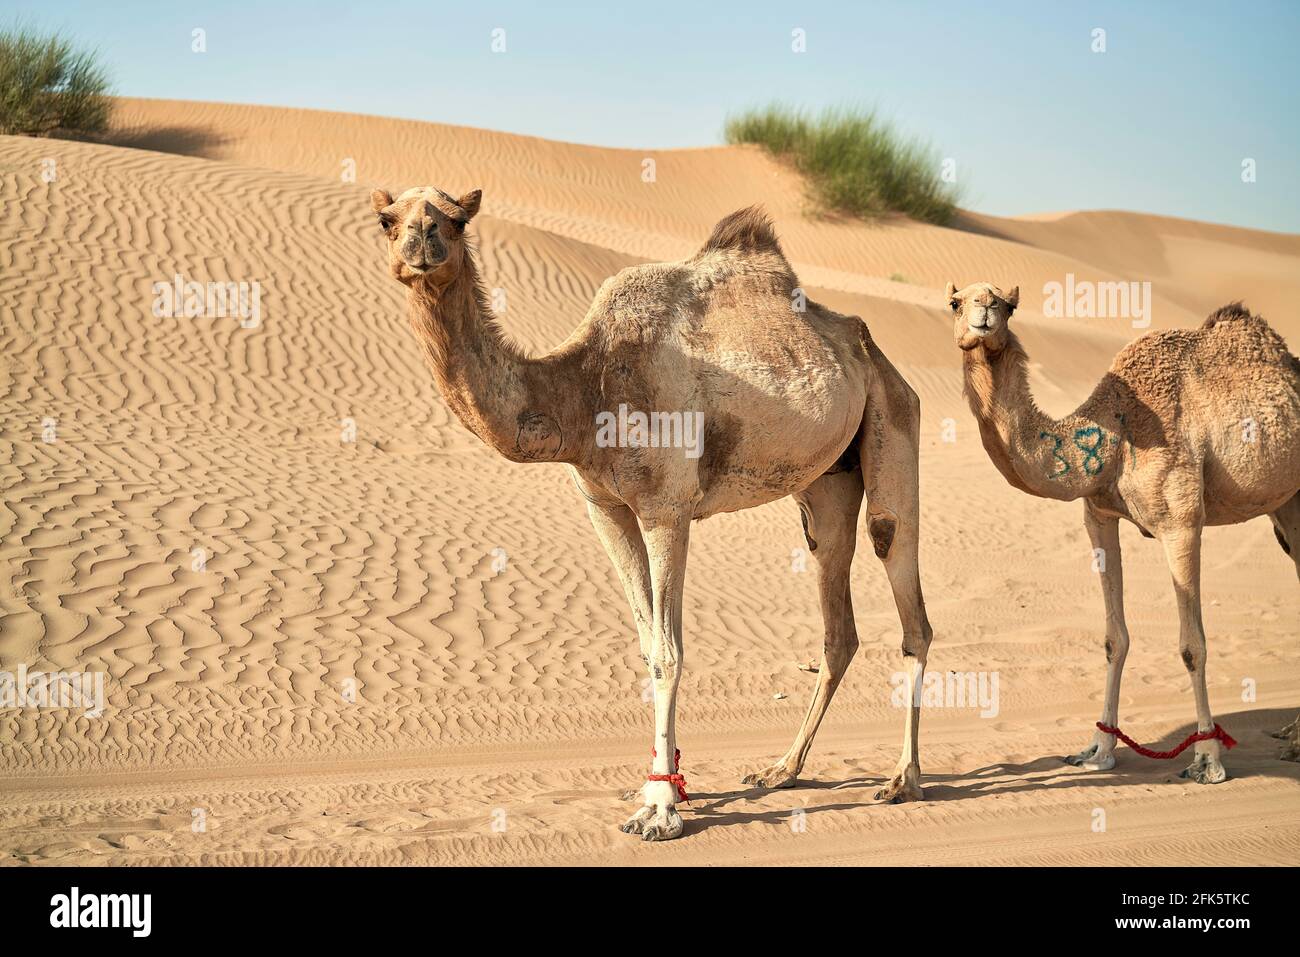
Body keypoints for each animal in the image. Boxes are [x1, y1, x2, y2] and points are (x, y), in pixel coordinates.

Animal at [370, 184, 934, 840]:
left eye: (457, 220)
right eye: (387, 219)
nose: (421, 240)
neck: (581, 390)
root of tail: (874, 351)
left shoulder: (666, 506)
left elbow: (668, 651)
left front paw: (660, 807)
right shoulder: (605, 507)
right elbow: (646, 644)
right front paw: (662, 786)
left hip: (894, 415)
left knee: (901, 572)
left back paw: (903, 779)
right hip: (827, 483)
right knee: (836, 618)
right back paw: (782, 770)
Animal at [947, 282, 1300, 779]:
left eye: (1008, 305)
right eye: (956, 302)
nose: (983, 312)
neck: (1118, 429)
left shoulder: (1181, 521)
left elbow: (1192, 645)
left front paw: (1206, 760)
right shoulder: (1099, 516)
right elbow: (1114, 638)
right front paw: (1098, 749)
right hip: (1287, 503)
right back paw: (1292, 737)